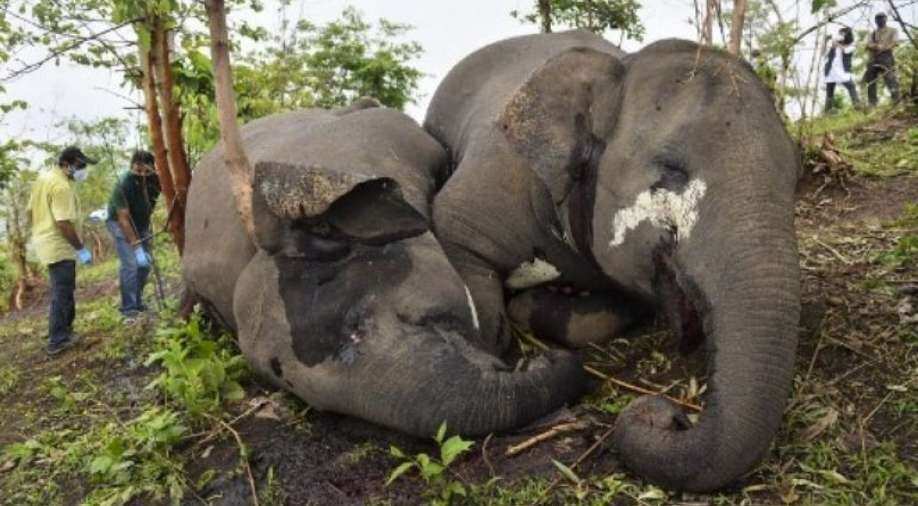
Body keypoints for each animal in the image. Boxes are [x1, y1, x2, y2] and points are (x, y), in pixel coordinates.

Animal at [425, 30, 801, 491]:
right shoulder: (499, 171)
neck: (619, 70)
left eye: (795, 177)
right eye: (672, 171)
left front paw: (536, 303)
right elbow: (455, 233)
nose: (669, 414)